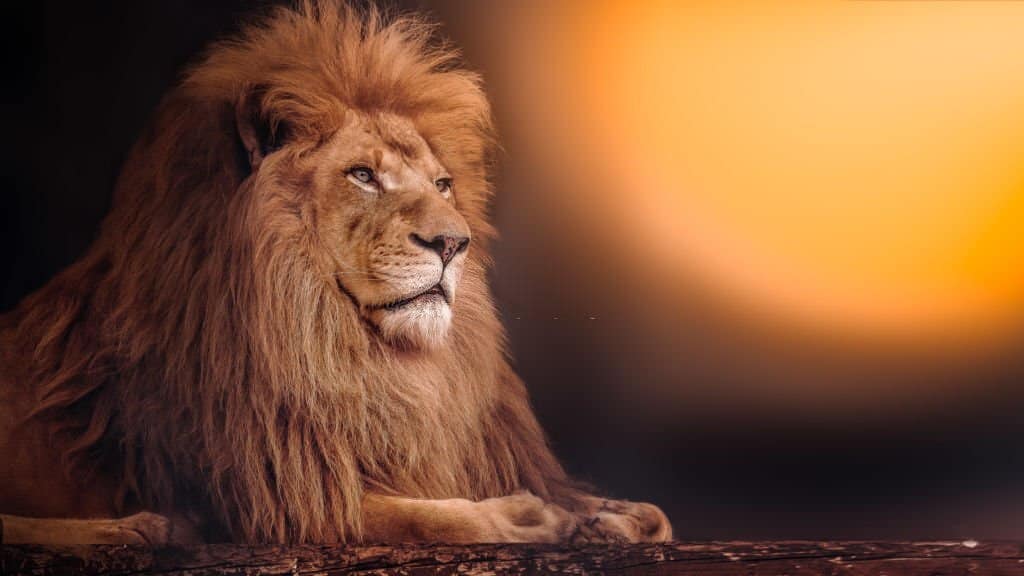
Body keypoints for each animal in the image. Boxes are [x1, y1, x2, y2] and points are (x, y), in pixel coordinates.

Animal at [0, 1, 671, 546]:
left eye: (442, 184)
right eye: (363, 176)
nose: (453, 242)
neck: (346, 344)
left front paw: (616, 515)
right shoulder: (272, 493)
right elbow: (418, 515)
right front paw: (527, 518)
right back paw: (142, 528)